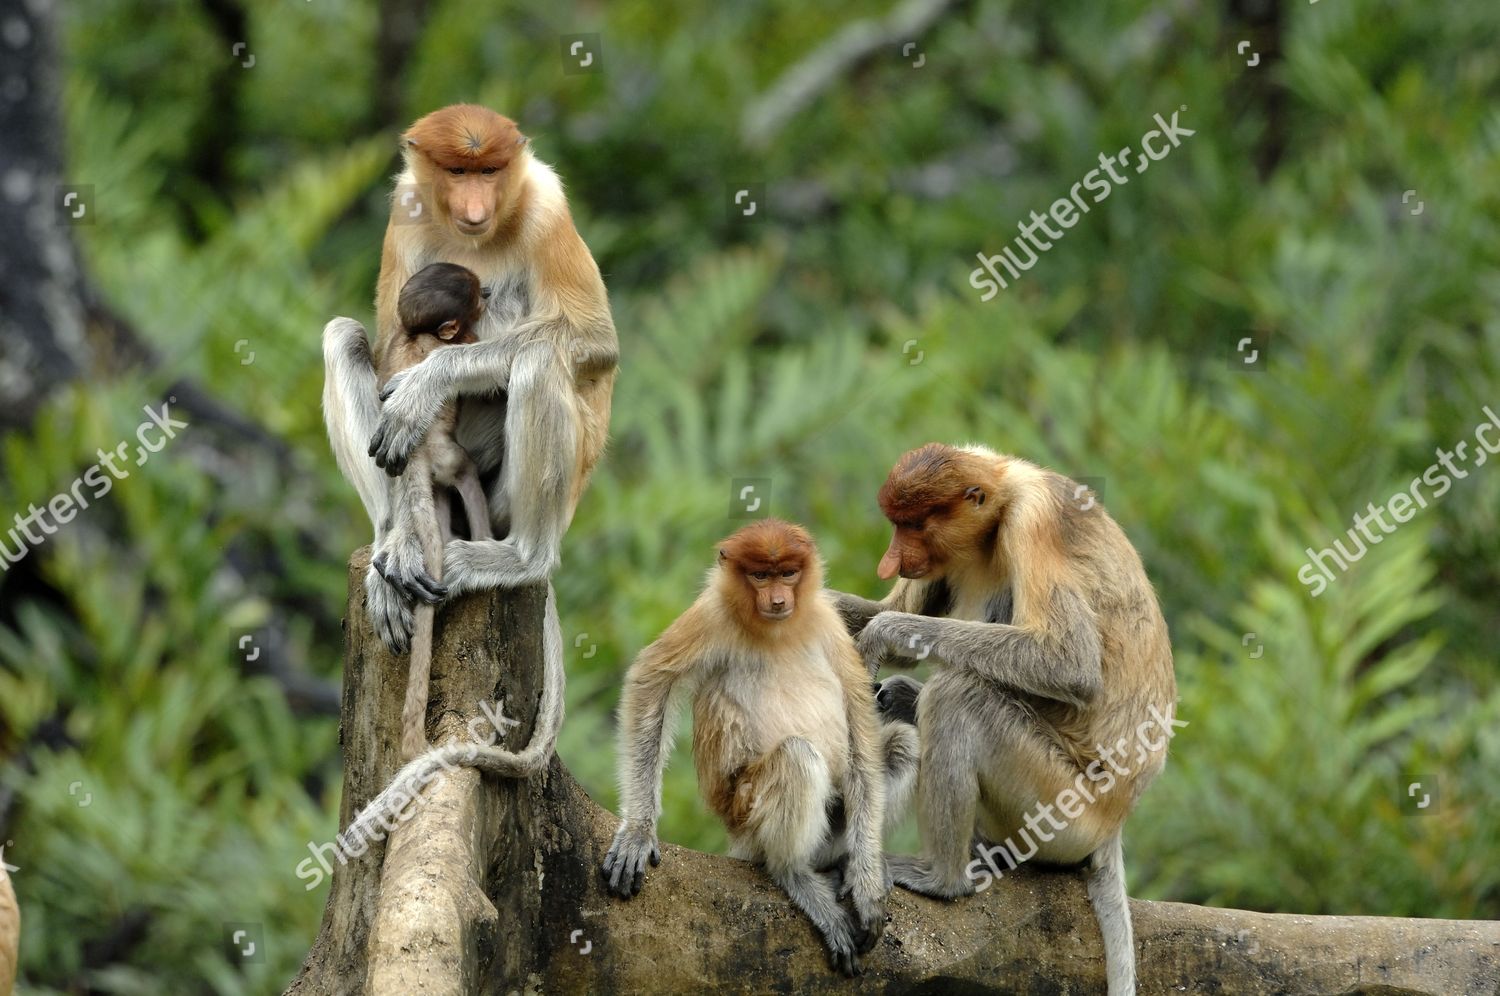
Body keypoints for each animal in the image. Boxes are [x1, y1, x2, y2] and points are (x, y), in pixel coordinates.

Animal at [323, 103, 615, 838]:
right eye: (458, 171)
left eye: (491, 170)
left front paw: (428, 382)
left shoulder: (546, 207)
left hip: (535, 484)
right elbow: (380, 339)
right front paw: (398, 548)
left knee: (539, 359)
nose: (478, 207)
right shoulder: (405, 210)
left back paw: (518, 556)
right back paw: (391, 545)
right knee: (342, 334)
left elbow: (592, 340)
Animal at [601, 520, 919, 976]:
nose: (779, 600)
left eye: (787, 573)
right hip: (745, 815)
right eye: (759, 576)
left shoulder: (828, 621)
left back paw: (844, 864)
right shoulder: (710, 614)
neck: (777, 630)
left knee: (901, 745)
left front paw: (867, 887)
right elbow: (652, 679)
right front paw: (638, 834)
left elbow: (859, 723)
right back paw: (793, 873)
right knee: (797, 757)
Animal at [831, 443, 1177, 996]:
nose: (892, 562)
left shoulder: (1034, 523)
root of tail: (1116, 820)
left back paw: (943, 878)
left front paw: (883, 634)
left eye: (916, 525)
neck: (1001, 501)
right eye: (897, 524)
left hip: (1065, 806)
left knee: (959, 696)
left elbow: (1069, 664)